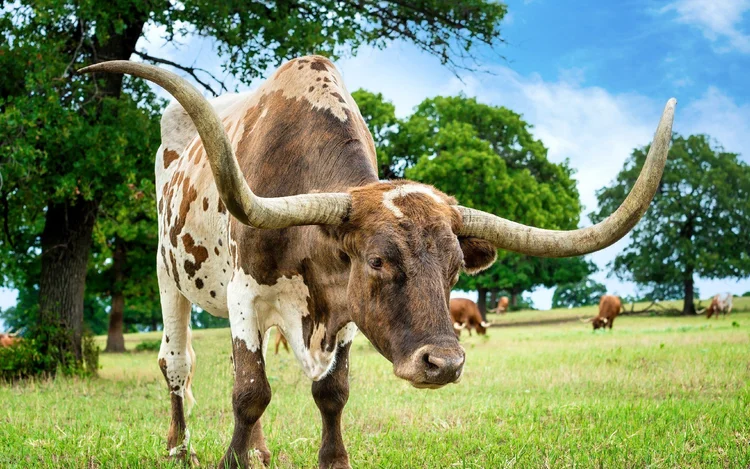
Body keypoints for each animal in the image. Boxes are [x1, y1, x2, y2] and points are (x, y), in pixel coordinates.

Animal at [79, 57, 674, 468]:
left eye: (456, 268)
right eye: (378, 259)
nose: (444, 364)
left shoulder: (342, 306)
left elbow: (330, 392)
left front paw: (329, 459)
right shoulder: (246, 291)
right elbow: (250, 391)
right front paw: (232, 459)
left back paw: (261, 451)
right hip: (169, 276)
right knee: (178, 365)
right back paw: (181, 449)